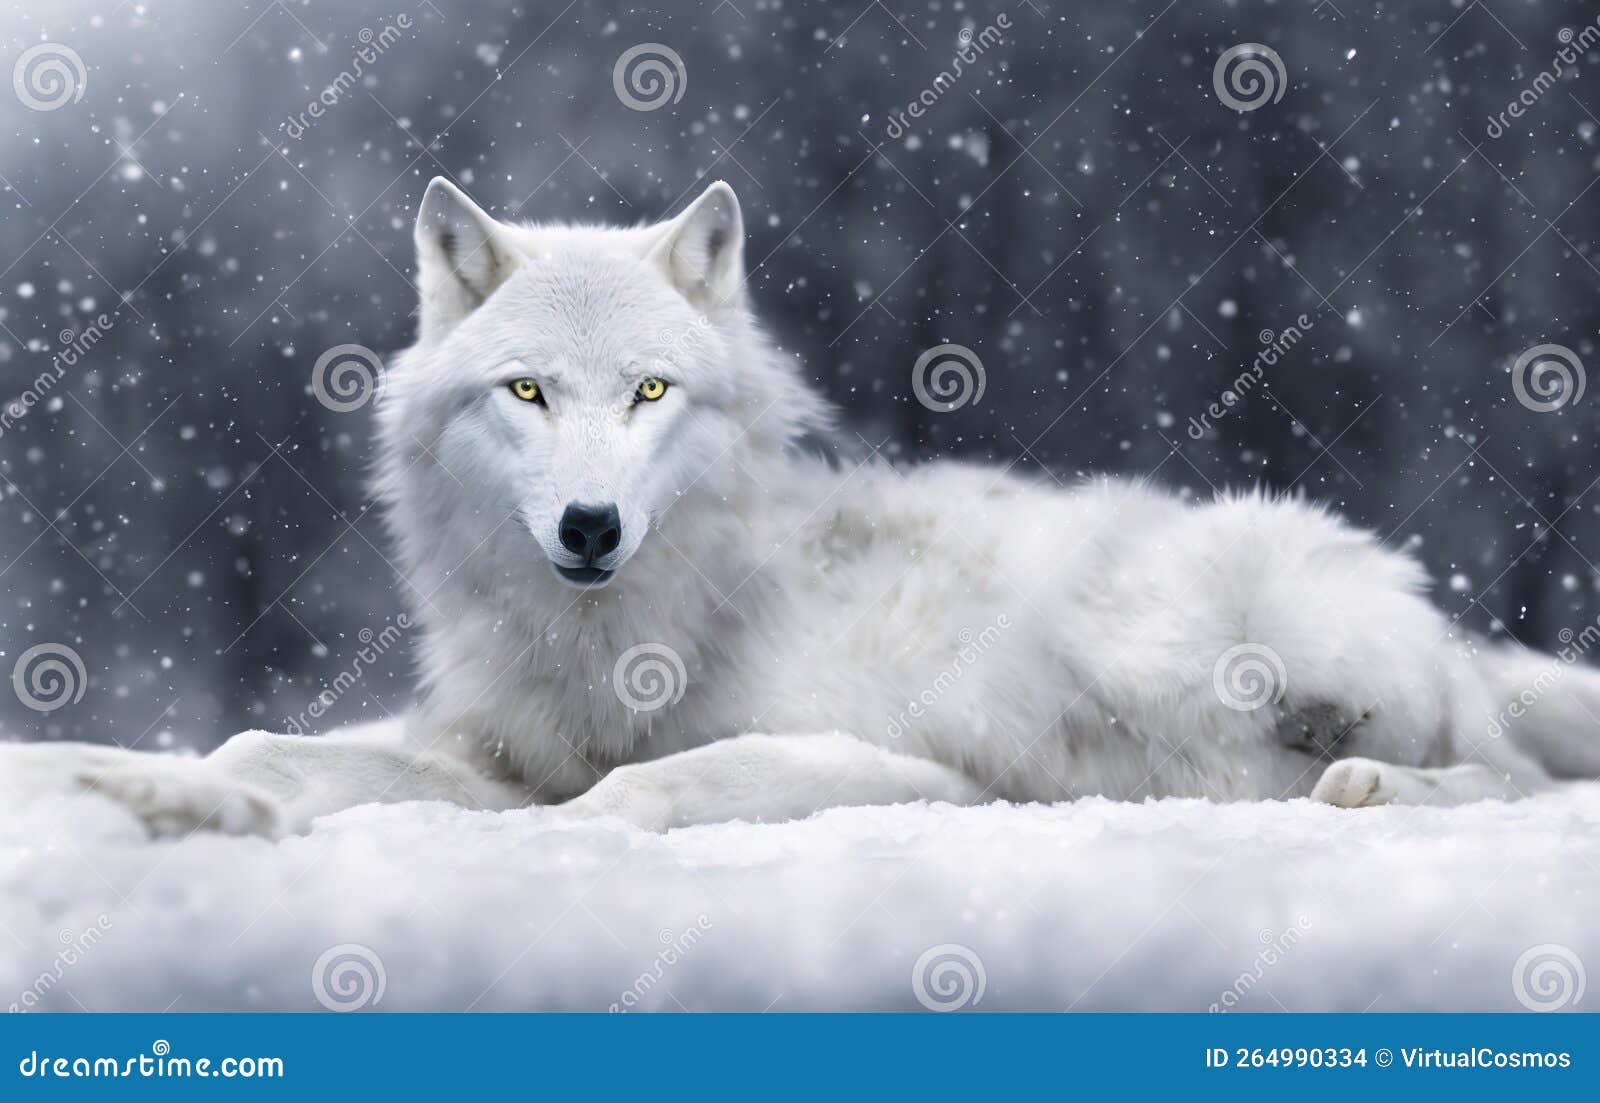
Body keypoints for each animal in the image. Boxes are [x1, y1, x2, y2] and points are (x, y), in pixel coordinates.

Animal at [9, 178, 1600, 838]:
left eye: (651, 390)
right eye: (526, 392)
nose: (589, 526)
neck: (641, 631)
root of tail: (1436, 615)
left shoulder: (890, 758)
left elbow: (639, 795)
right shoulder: (498, 749)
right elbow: (261, 747)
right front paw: (156, 790)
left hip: (1169, 639)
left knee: (1504, 779)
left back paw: (1365, 785)